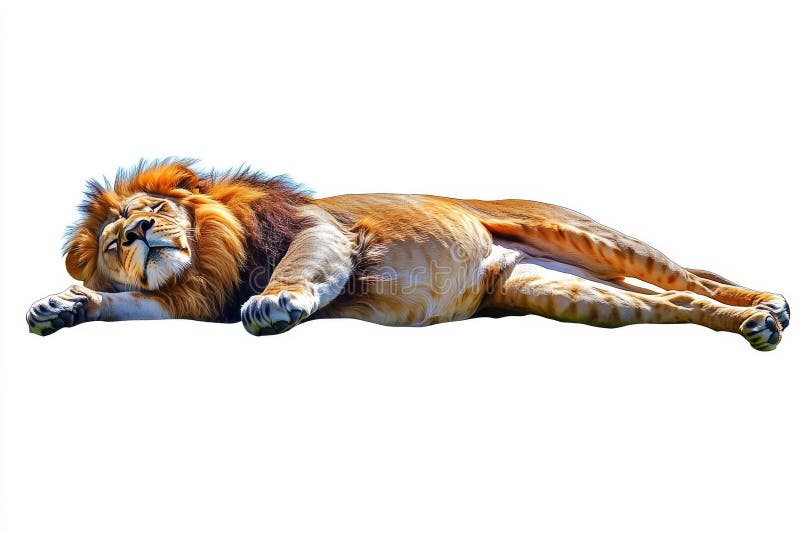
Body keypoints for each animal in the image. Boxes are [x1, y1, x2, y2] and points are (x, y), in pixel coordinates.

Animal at [27, 159, 790, 350]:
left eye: (151, 213)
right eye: (113, 243)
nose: (137, 235)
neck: (211, 258)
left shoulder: (325, 230)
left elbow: (297, 268)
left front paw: (275, 302)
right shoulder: (193, 302)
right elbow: (123, 304)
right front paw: (61, 304)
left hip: (590, 237)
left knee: (691, 277)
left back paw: (767, 306)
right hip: (566, 292)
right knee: (676, 300)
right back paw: (754, 325)